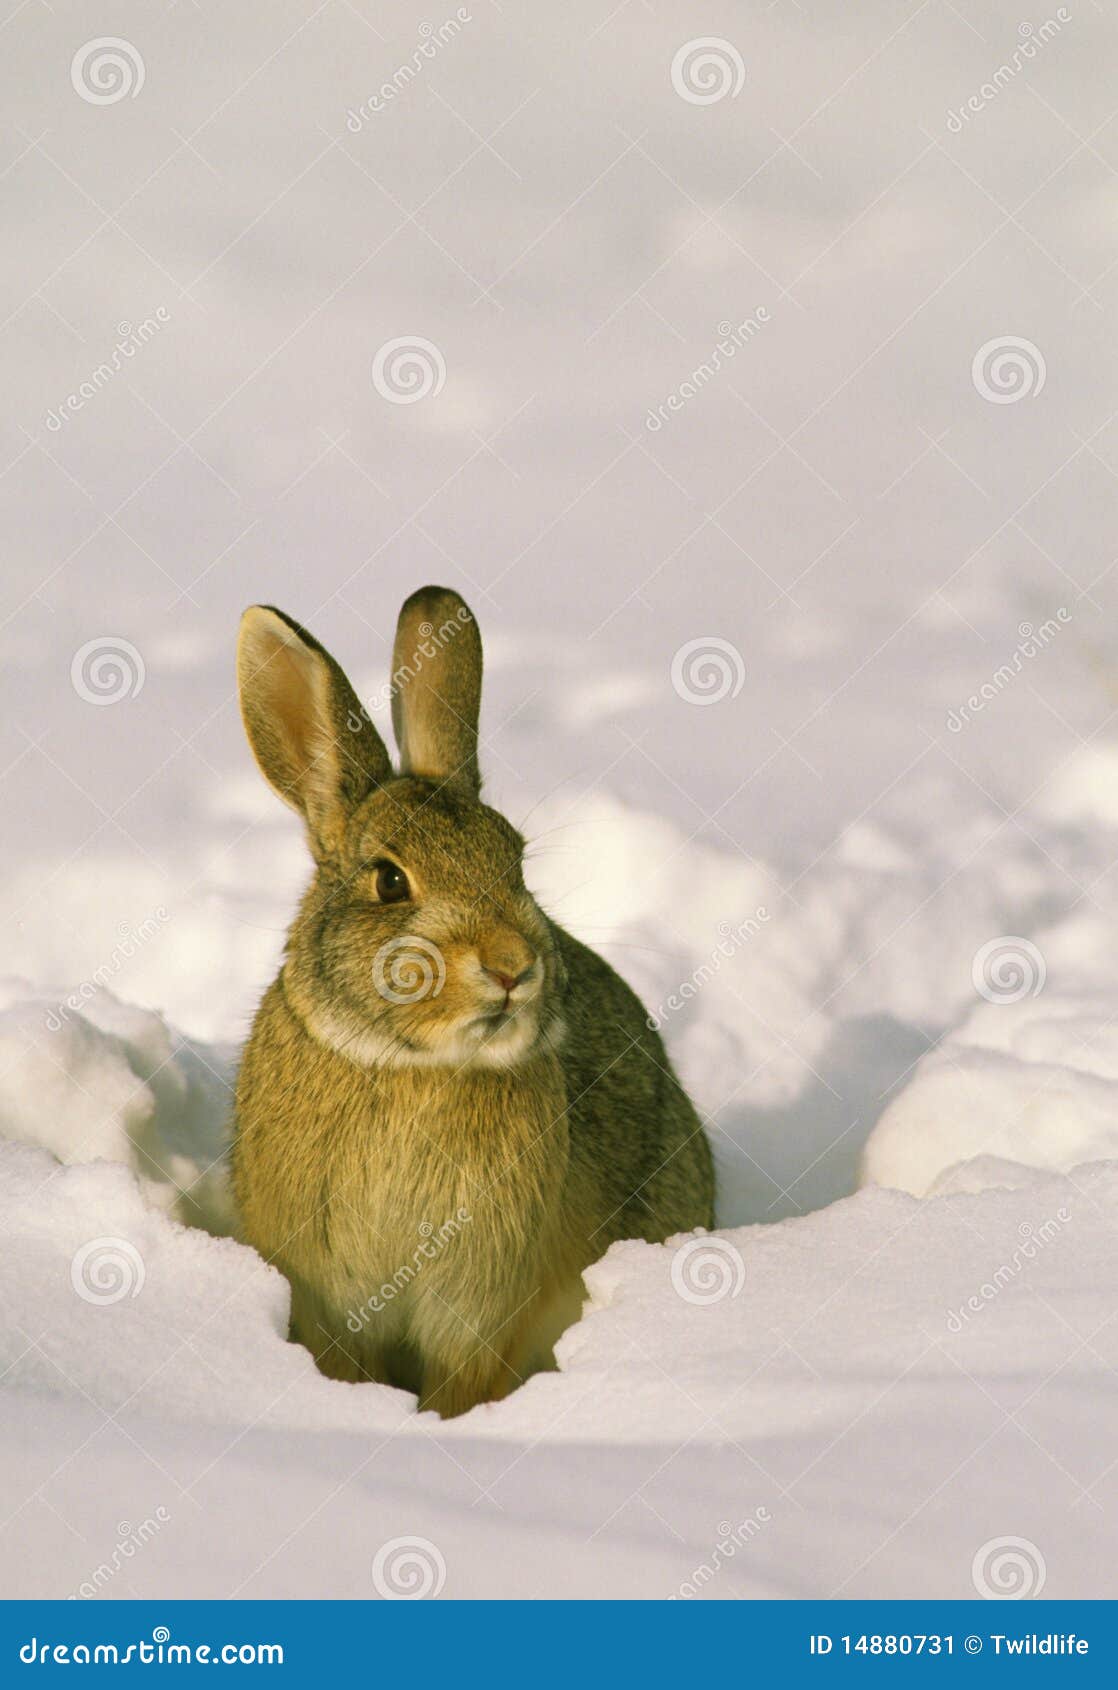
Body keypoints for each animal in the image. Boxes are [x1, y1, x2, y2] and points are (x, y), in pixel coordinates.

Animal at [232, 585, 714, 1417]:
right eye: (390, 880)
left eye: (515, 861)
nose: (514, 966)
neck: (410, 1067)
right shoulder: (329, 1296)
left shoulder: (482, 1306)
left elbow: (461, 1381)